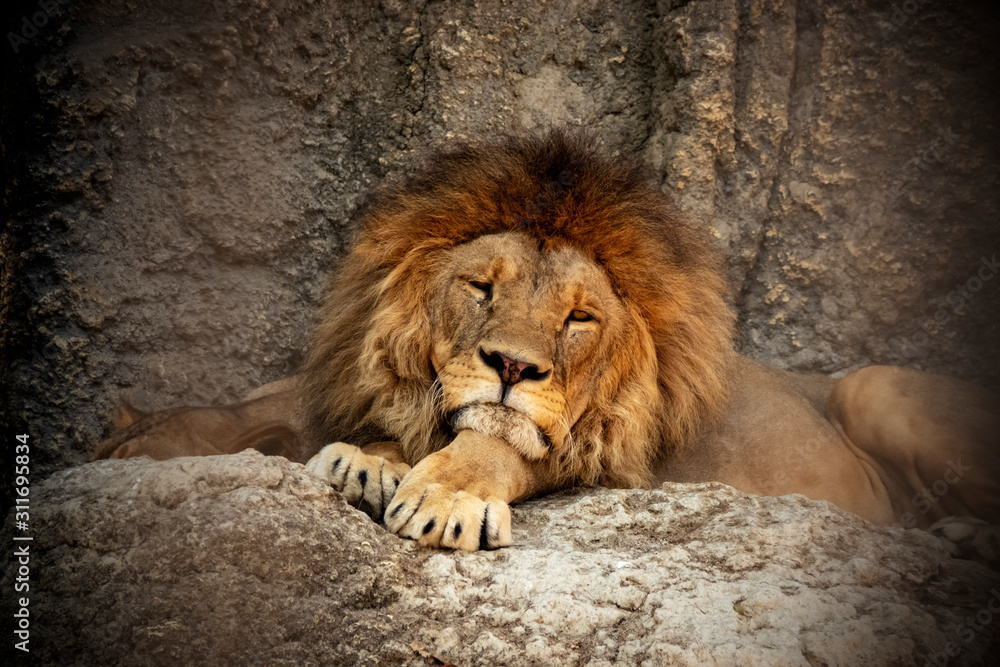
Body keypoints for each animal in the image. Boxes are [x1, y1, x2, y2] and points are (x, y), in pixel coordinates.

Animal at [94, 132, 1000, 556]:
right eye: (480, 287)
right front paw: (366, 459)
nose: (513, 367)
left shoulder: (605, 445)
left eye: (578, 319)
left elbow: (497, 448)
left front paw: (444, 494)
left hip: (876, 384)